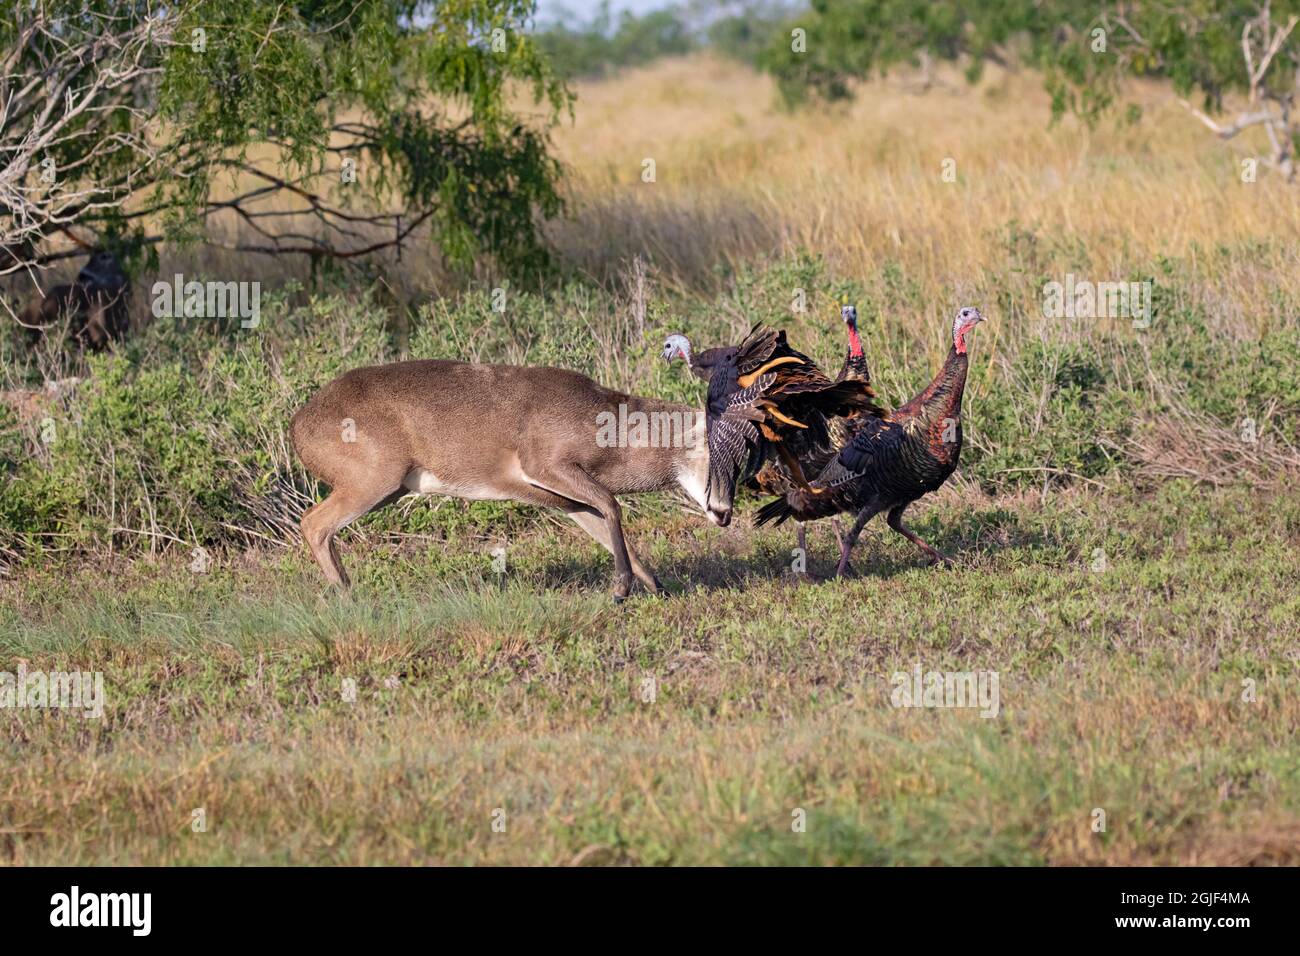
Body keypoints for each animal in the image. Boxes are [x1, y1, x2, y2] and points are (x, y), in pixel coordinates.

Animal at [290, 359, 741, 601]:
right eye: (718, 456)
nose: (724, 513)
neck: (607, 434)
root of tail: (297, 427)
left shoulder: (551, 492)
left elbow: (600, 519)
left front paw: (657, 587)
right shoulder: (544, 462)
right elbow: (612, 504)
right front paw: (621, 588)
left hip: (392, 485)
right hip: (372, 477)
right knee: (313, 522)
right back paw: (347, 595)